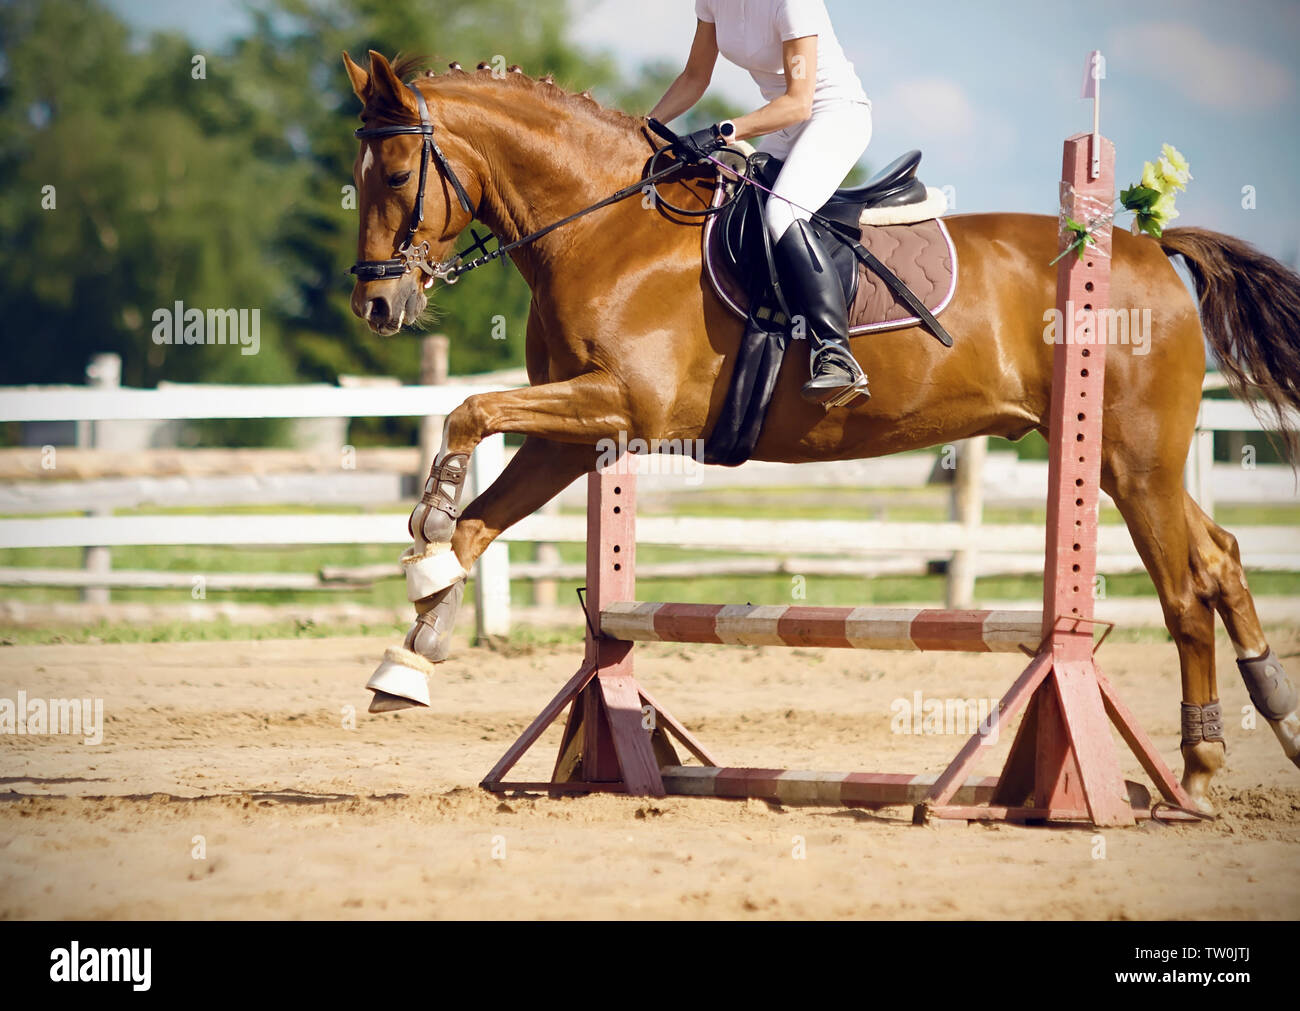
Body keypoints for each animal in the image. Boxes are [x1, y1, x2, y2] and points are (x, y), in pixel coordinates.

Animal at [342, 50, 1300, 813]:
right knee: (1219, 558)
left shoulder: (622, 407)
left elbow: (467, 413)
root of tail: (1145, 243)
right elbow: (478, 519)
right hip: (1128, 464)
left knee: (1184, 591)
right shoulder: (575, 434)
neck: (601, 226)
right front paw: (411, 652)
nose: (378, 307)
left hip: (1132, 461)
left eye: (393, 174)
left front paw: (426, 522)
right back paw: (1271, 718)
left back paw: (1198, 769)